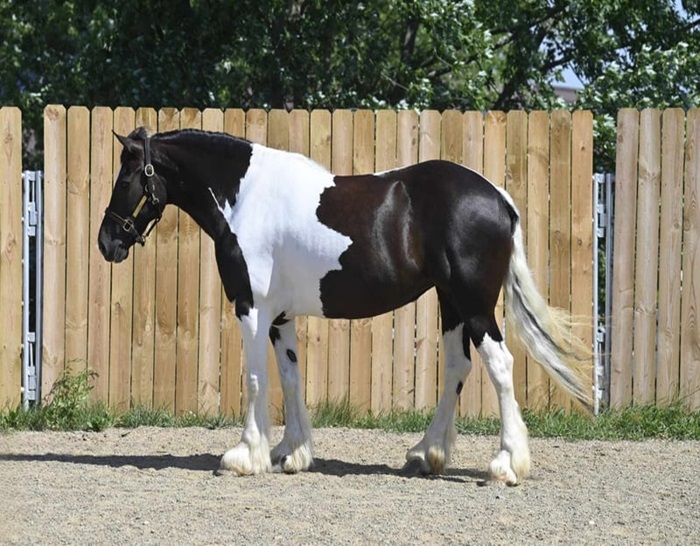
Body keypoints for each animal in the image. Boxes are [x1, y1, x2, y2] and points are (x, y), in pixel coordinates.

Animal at [98, 126, 591, 485]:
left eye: (126, 177)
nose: (107, 242)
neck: (244, 198)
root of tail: (500, 199)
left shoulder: (251, 308)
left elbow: (256, 379)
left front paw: (244, 456)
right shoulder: (280, 317)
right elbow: (290, 377)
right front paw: (291, 453)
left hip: (473, 305)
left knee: (500, 366)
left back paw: (506, 465)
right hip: (450, 303)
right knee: (457, 367)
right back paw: (426, 453)